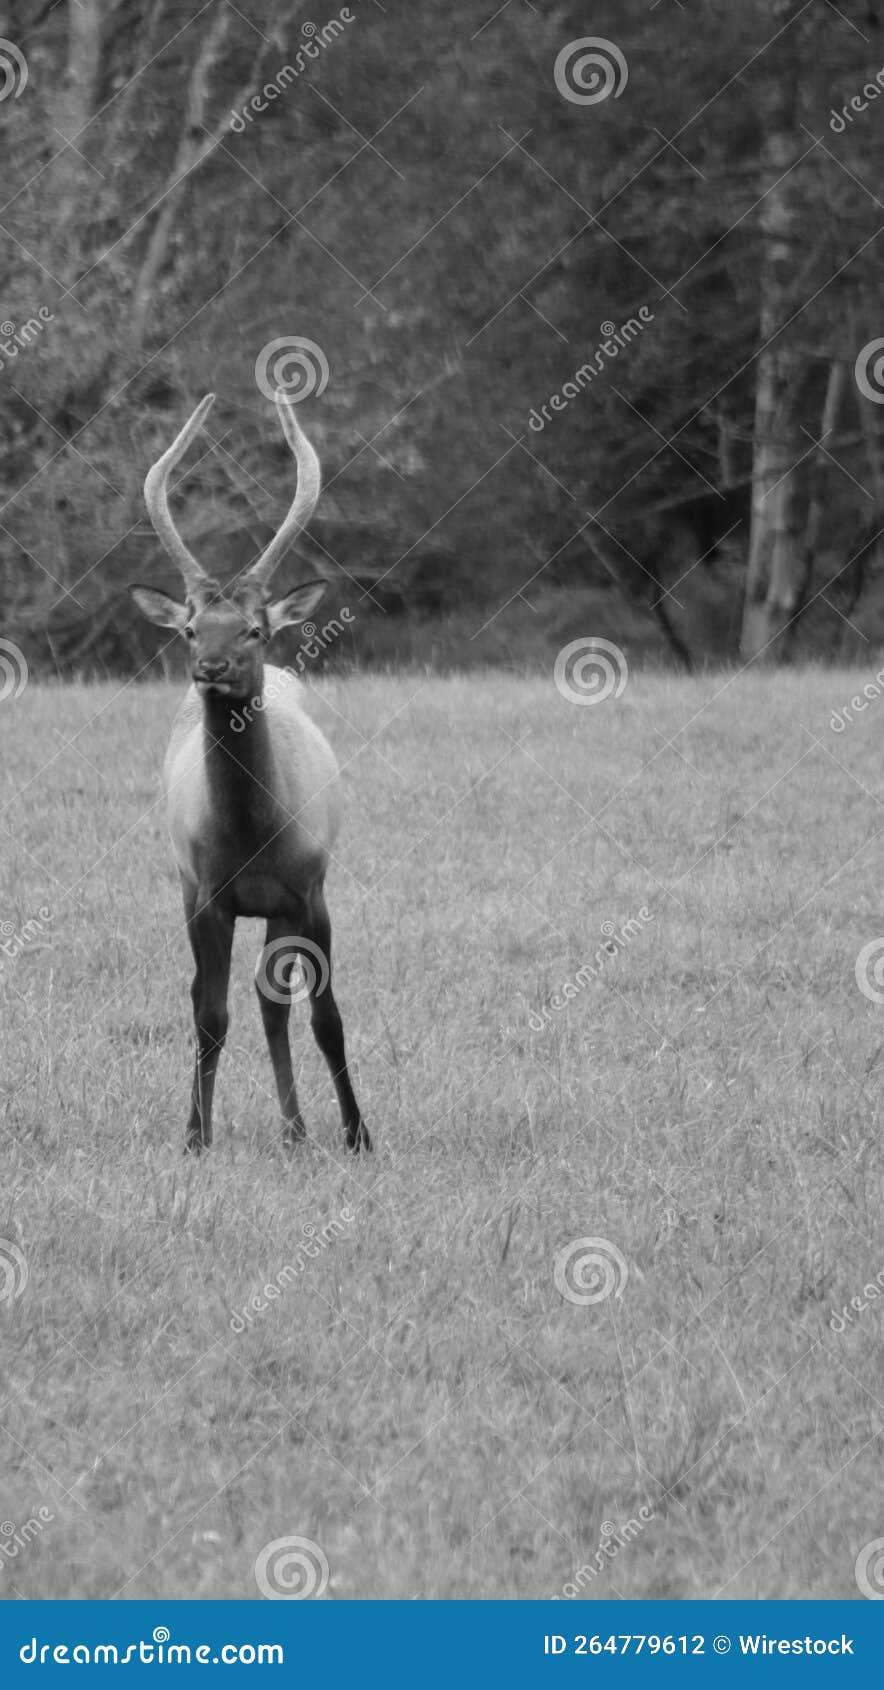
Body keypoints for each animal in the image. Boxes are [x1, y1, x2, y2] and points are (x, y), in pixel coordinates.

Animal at [130, 391, 371, 1157]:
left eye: (254, 629)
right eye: (190, 628)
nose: (210, 668)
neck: (255, 836)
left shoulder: (309, 891)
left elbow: (326, 1016)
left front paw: (359, 1135)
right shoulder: (208, 894)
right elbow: (209, 1015)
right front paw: (194, 1137)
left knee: (275, 1003)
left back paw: (297, 1130)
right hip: (192, 890)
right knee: (223, 1000)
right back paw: (284, 1128)